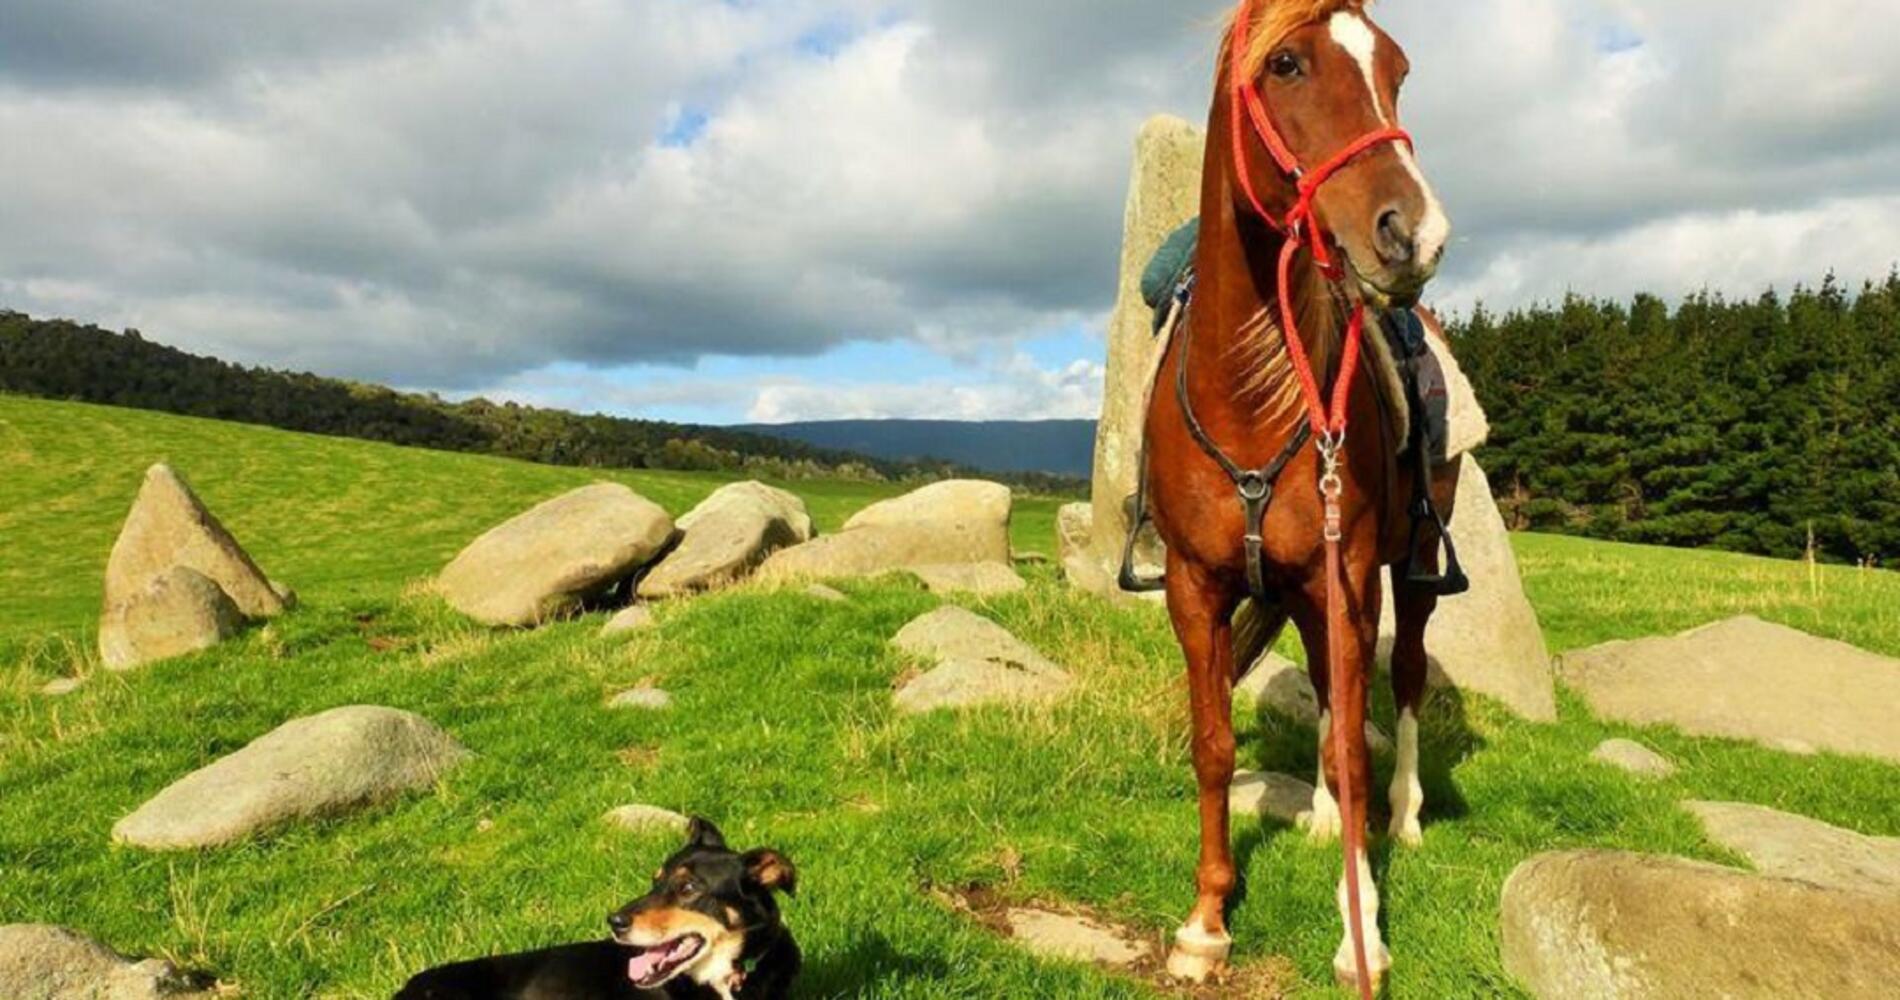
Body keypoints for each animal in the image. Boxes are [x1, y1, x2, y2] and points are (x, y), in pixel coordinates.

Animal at [1142, 0, 1458, 993]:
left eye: (1398, 71)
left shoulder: (1348, 573)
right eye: (1286, 65)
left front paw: (1362, 931)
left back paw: (1403, 816)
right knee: (1325, 687)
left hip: (1410, 571)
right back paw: (1323, 815)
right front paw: (1206, 922)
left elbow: (1355, 738)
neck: (1249, 393)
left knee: (1399, 682)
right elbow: (1215, 747)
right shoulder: (1196, 589)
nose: (1415, 234)